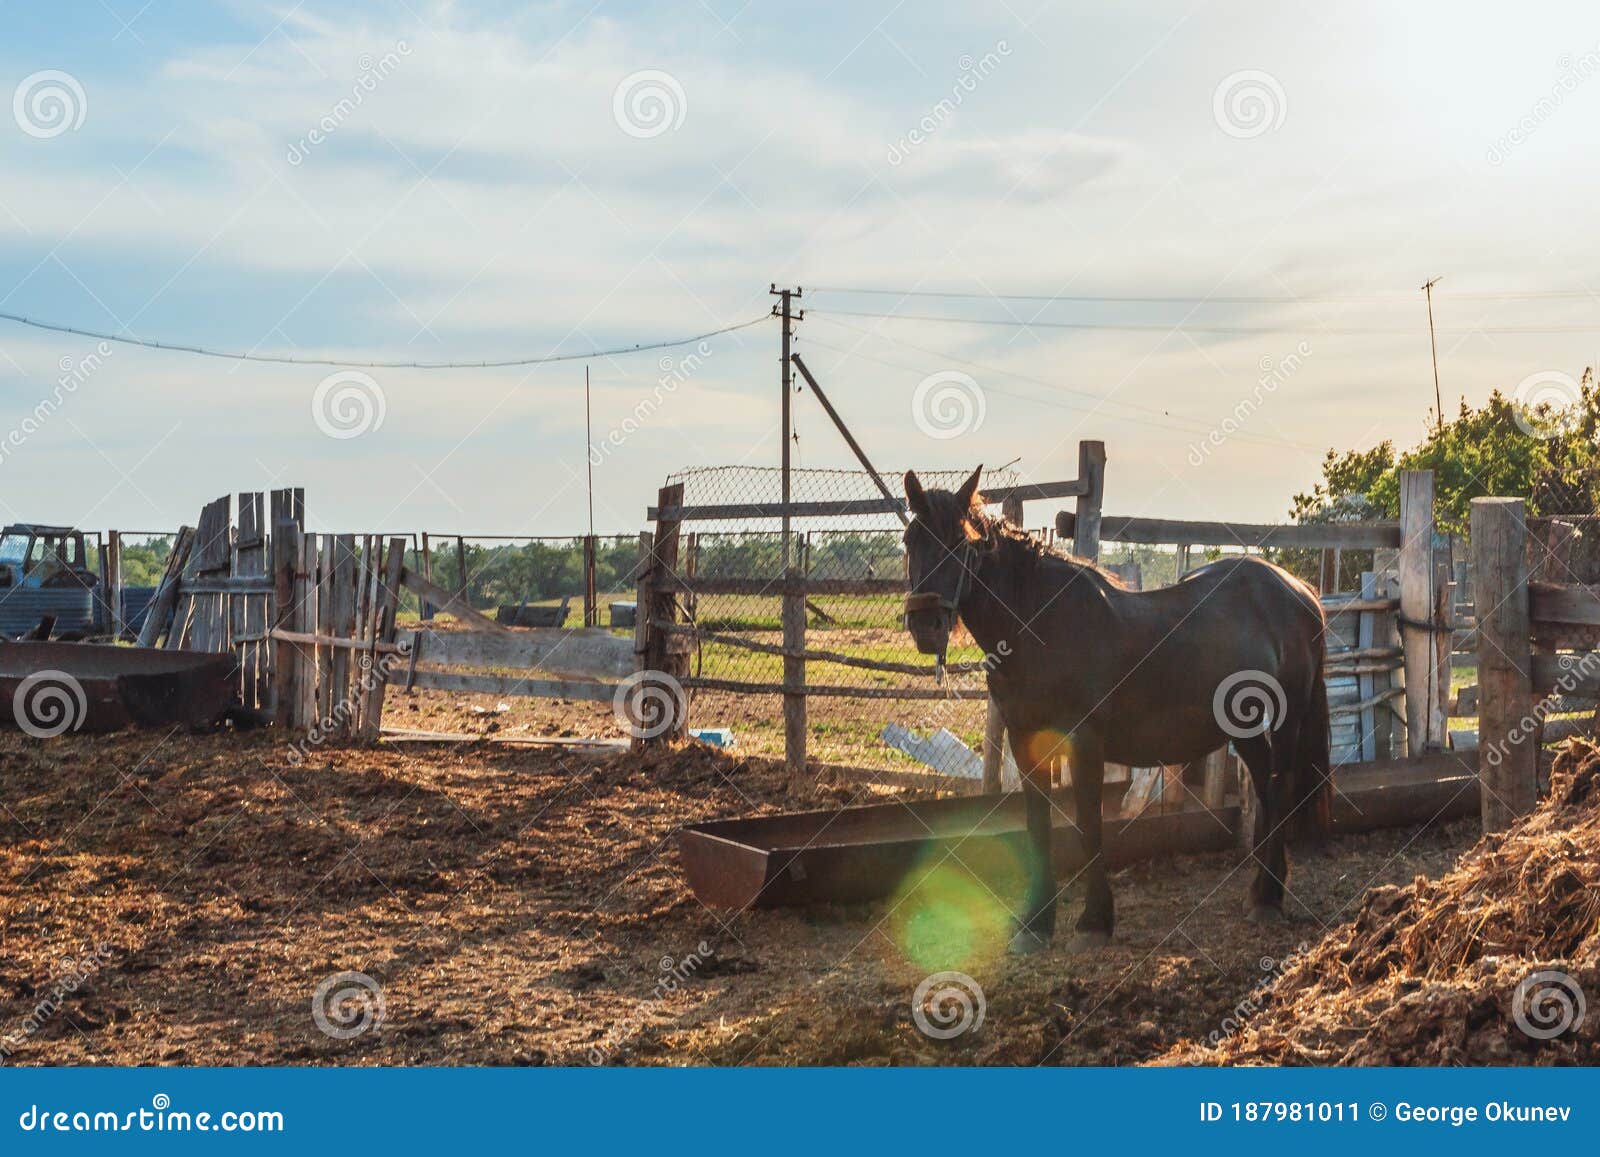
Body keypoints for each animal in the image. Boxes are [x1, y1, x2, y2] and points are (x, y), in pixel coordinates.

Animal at [902, 466, 1332, 955]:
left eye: (961, 541)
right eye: (911, 539)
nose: (926, 625)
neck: (1040, 626)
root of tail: (1301, 592)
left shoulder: (1084, 740)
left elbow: (1090, 824)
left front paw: (1093, 922)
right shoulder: (1025, 739)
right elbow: (1037, 826)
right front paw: (1035, 924)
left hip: (1286, 721)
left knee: (1279, 790)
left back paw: (1268, 899)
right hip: (1243, 728)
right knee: (1265, 791)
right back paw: (1263, 890)